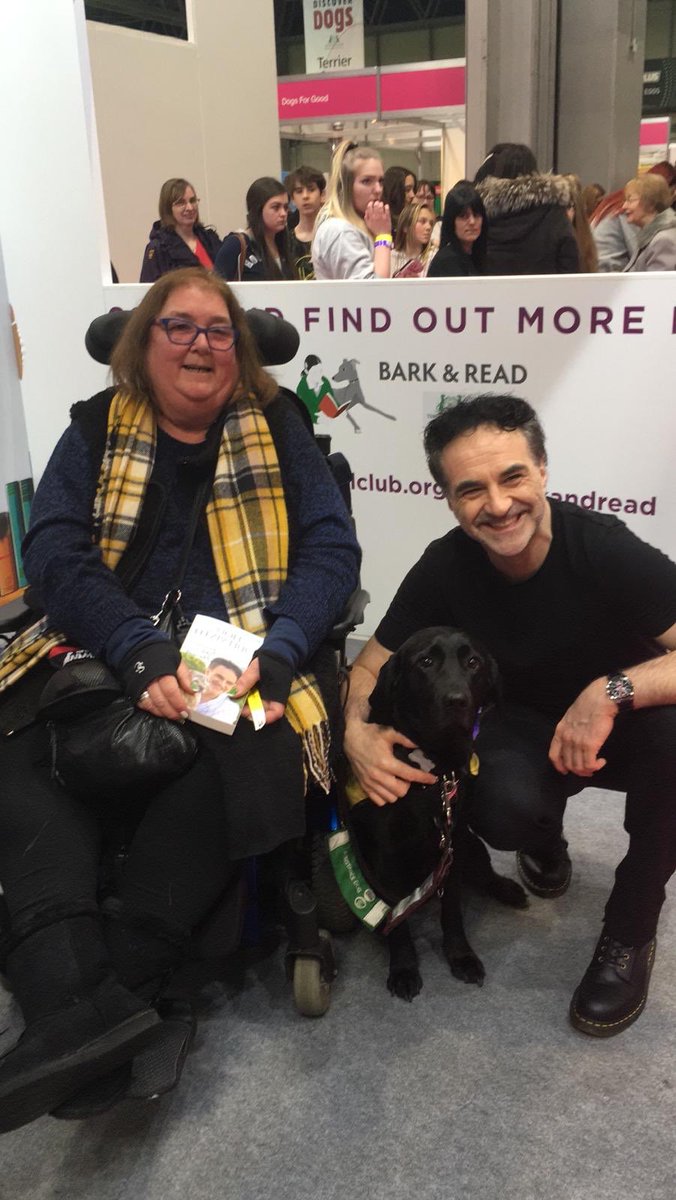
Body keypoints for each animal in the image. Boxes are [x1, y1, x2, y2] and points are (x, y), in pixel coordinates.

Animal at [346, 626, 527, 1001]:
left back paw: (506, 888)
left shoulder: (452, 846)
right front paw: (403, 968)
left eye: (473, 663)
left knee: (484, 874)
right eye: (425, 662)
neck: (435, 768)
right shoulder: (386, 857)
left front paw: (461, 956)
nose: (457, 700)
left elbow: (452, 911)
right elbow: (397, 922)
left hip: (471, 845)